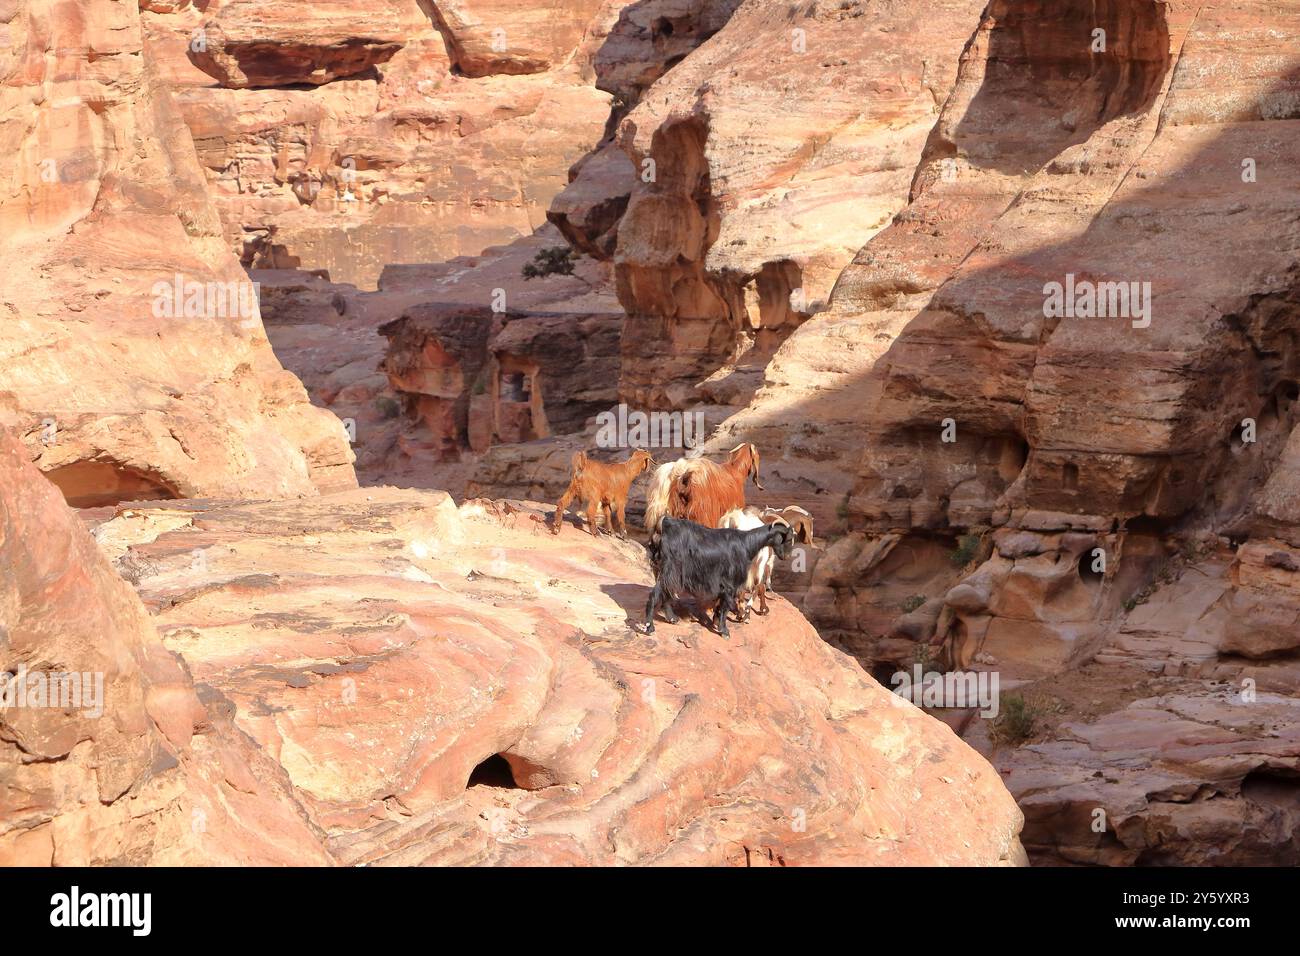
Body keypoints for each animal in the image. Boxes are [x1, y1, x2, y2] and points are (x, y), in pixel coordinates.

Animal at [644, 516, 793, 639]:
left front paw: (716, 623)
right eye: (788, 539)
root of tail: (664, 524)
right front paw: (724, 631)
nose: (787, 557)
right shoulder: (730, 583)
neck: (746, 544)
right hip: (670, 570)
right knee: (654, 595)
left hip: (668, 572)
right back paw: (649, 627)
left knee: (666, 592)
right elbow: (725, 607)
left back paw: (672, 619)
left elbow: (720, 604)